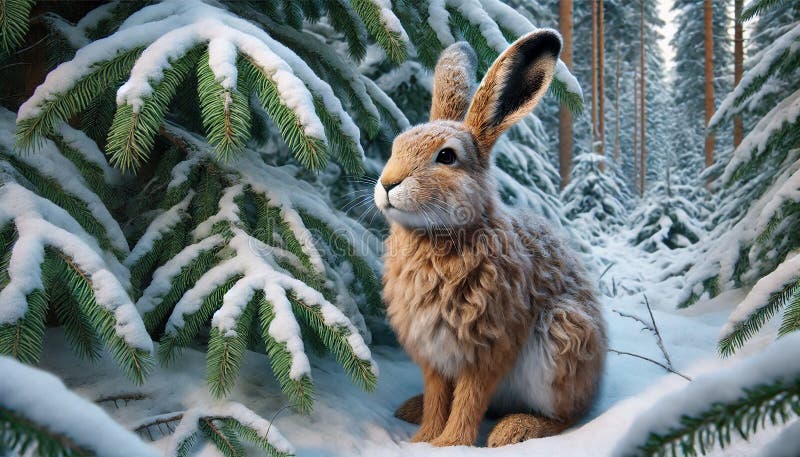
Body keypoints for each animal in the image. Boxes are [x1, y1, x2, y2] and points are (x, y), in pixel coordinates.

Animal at [373, 30, 606, 448]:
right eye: (397, 146)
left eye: (446, 157)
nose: (387, 184)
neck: (441, 237)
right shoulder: (434, 355)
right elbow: (439, 395)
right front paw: (423, 440)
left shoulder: (487, 348)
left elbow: (469, 399)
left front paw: (449, 445)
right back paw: (412, 409)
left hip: (562, 340)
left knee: (566, 417)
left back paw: (516, 429)